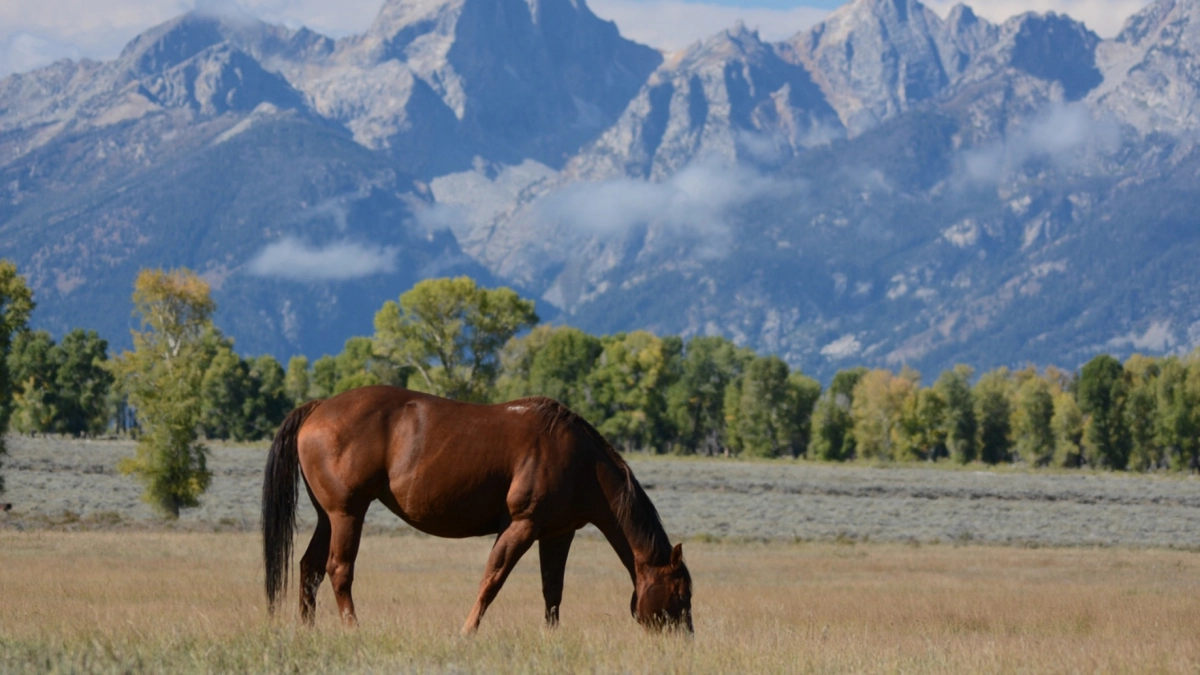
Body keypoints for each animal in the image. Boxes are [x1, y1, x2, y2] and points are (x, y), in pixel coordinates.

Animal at [261, 385, 693, 634]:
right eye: (681, 592)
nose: (684, 637)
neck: (580, 460)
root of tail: (318, 408)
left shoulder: (557, 533)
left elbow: (552, 589)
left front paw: (551, 637)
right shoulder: (522, 526)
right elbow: (492, 579)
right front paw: (468, 631)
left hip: (327, 517)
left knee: (310, 567)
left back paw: (308, 630)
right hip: (348, 514)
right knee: (338, 570)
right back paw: (353, 630)